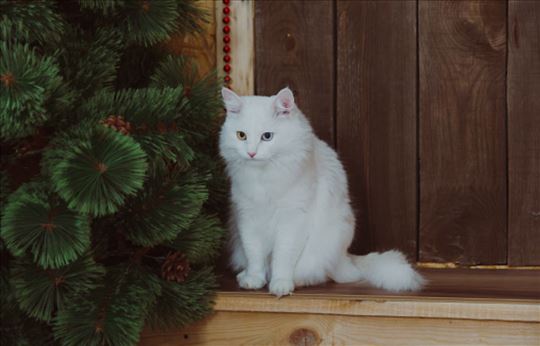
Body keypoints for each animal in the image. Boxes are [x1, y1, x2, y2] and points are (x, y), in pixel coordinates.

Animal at [217, 87, 424, 298]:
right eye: (241, 136)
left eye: (267, 136)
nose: (251, 153)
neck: (263, 178)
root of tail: (346, 258)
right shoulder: (247, 218)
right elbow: (254, 255)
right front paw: (254, 280)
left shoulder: (292, 220)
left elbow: (282, 257)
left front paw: (280, 284)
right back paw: (245, 276)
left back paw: (297, 281)